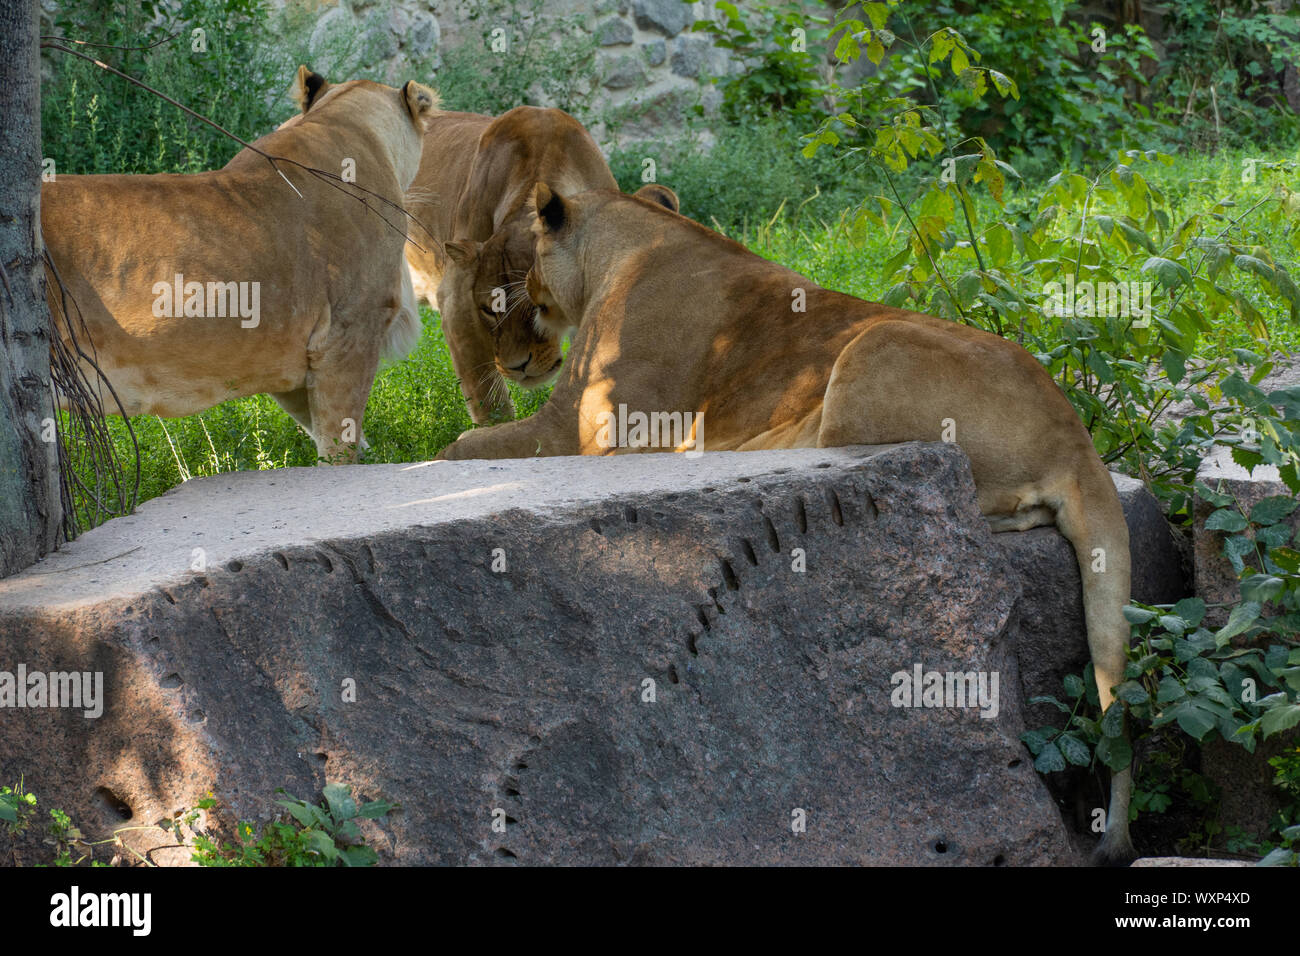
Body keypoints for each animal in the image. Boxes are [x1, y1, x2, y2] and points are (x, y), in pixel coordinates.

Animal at [439, 184, 1137, 865]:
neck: (627, 237)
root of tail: (1077, 440)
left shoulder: (581, 434)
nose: (514, 362)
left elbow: (459, 446)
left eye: (508, 292)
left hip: (871, 351)